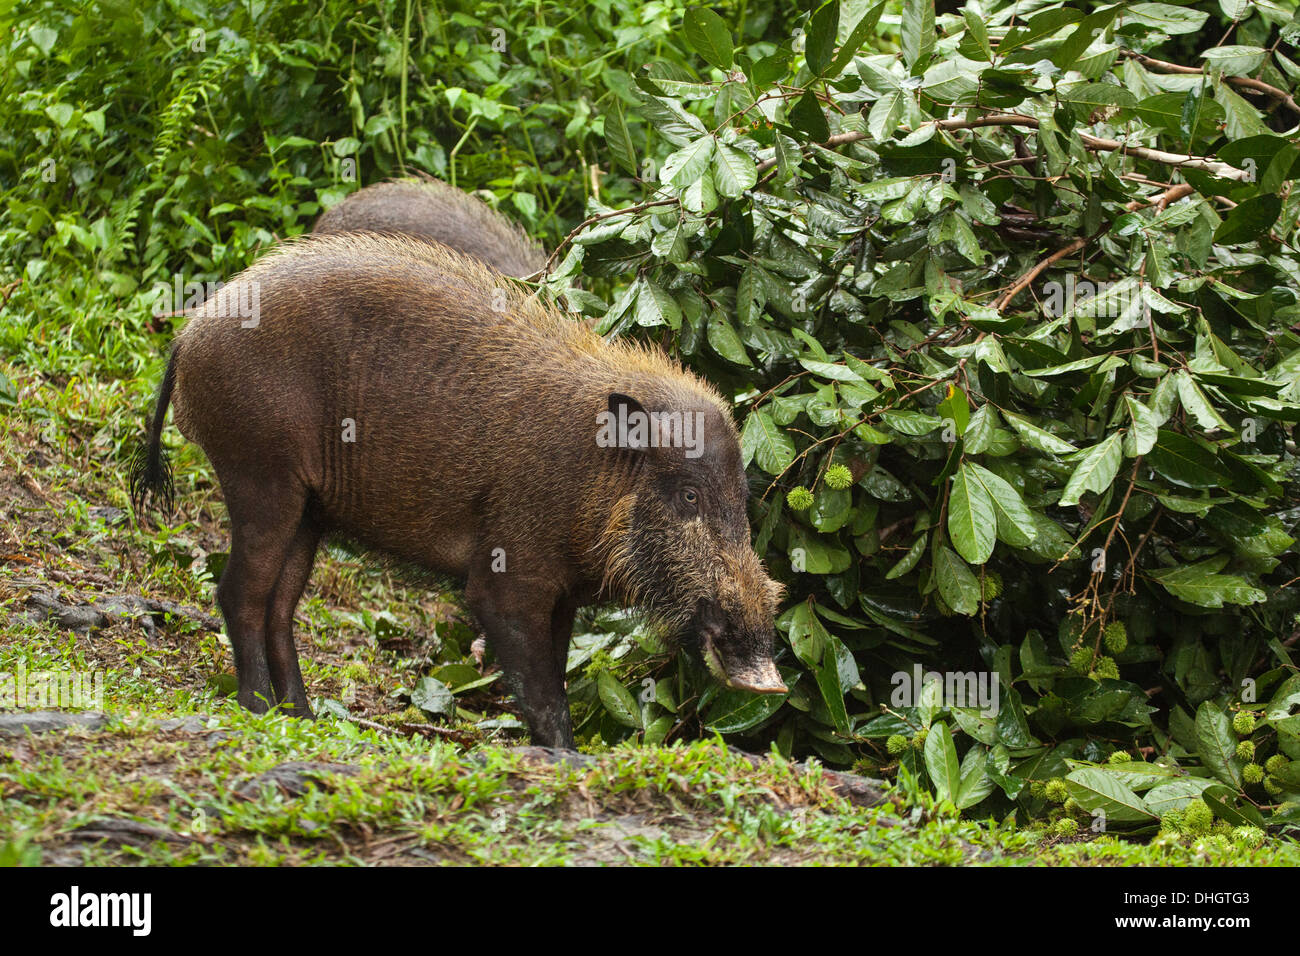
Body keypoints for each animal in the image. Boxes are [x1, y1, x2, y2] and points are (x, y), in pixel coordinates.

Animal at [131, 234, 785, 748]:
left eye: (741, 498)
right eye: (690, 497)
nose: (768, 677)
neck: (590, 474)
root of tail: (187, 336)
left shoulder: (563, 597)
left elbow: (554, 674)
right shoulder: (506, 577)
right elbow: (542, 691)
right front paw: (565, 757)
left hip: (307, 510)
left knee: (280, 608)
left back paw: (303, 716)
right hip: (260, 476)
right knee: (237, 593)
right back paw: (259, 711)